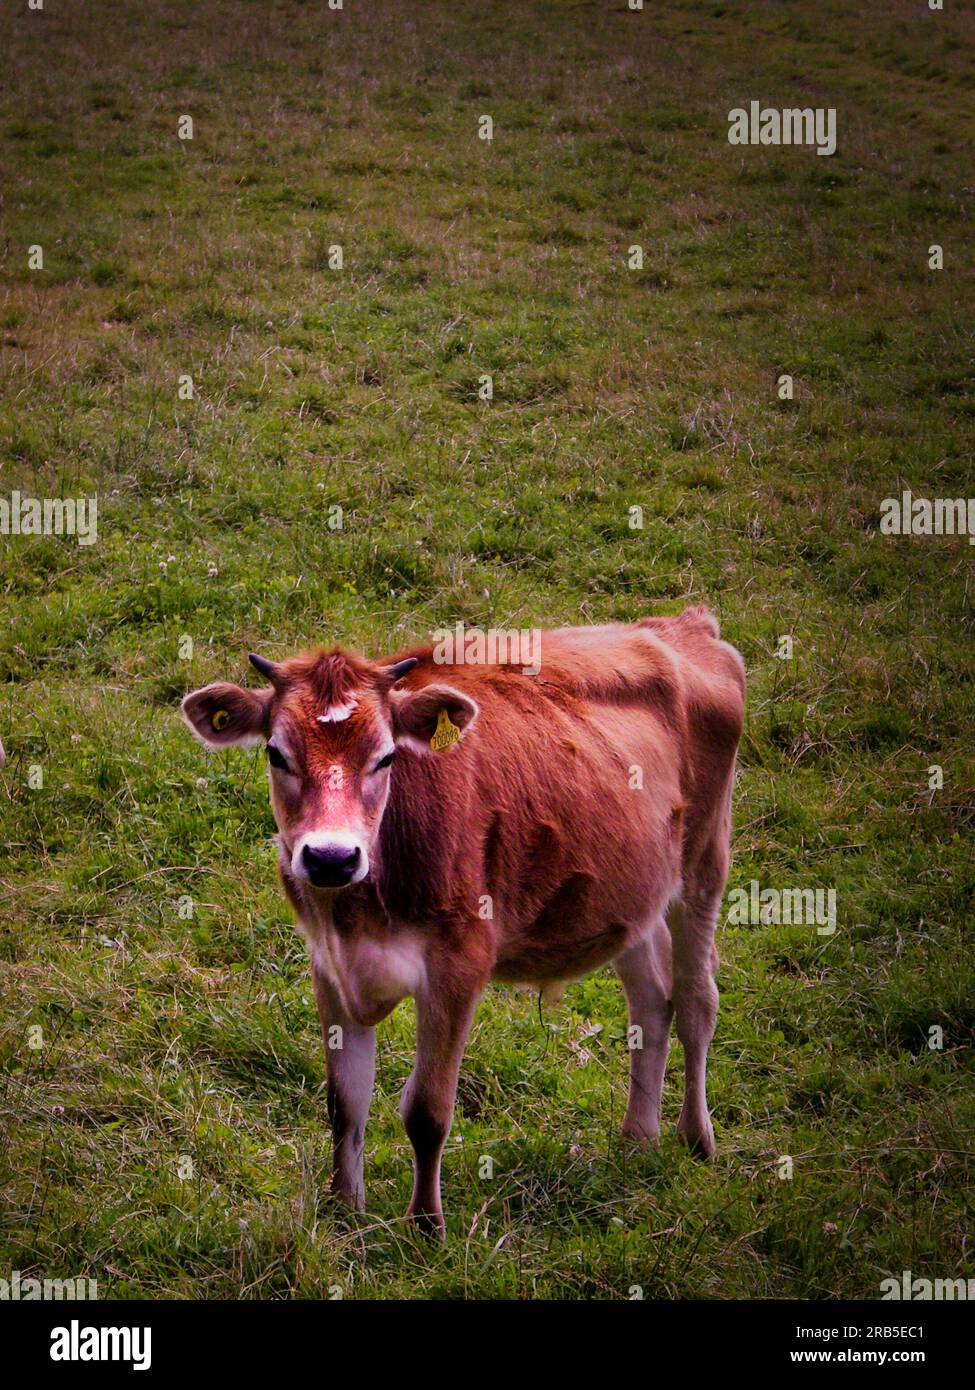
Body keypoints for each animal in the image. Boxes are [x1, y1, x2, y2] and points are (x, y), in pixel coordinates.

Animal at [180, 606, 745, 1237]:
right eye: (277, 754)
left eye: (386, 757)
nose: (330, 857)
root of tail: (680, 625)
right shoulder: (329, 965)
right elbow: (344, 1101)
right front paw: (344, 1213)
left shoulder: (458, 964)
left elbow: (426, 1110)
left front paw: (425, 1228)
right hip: (629, 897)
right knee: (651, 1001)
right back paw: (637, 1140)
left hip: (704, 864)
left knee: (696, 1001)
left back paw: (695, 1139)